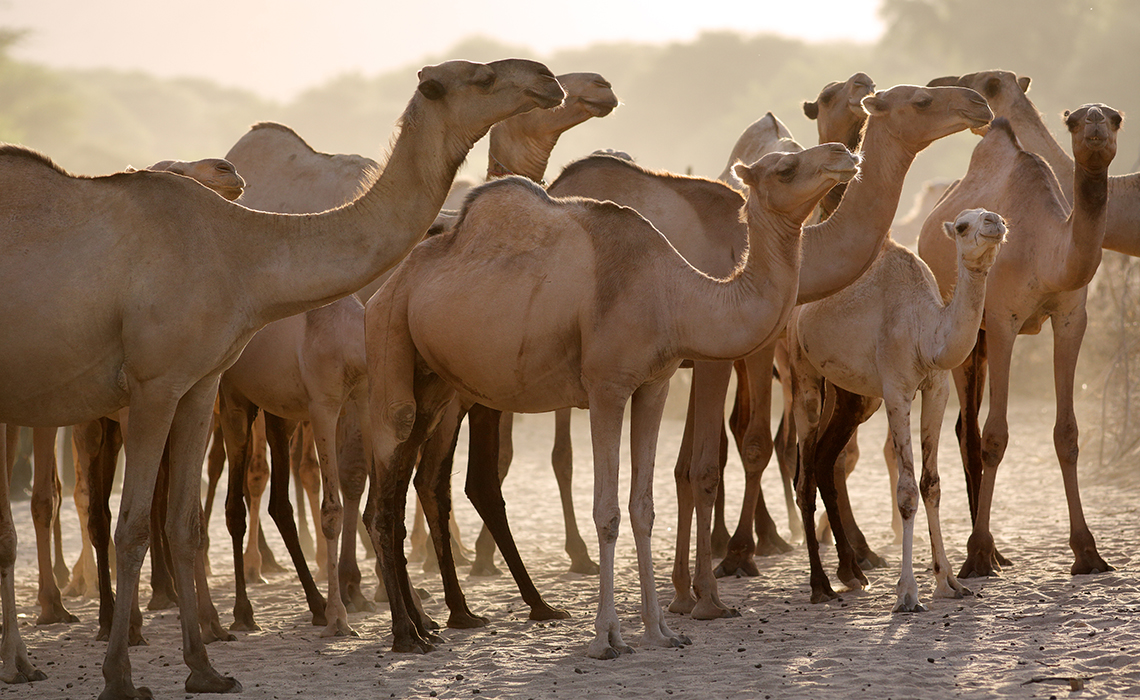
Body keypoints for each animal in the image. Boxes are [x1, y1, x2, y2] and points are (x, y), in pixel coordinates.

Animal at [0, 57, 564, 696]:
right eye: (481, 76)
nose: (547, 77)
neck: (238, 250)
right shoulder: (153, 383)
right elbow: (134, 525)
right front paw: (120, 676)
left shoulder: (199, 383)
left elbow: (184, 521)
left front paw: (205, 669)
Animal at [364, 141, 860, 657]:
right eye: (786, 167)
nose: (844, 153)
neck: (673, 295)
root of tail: (387, 284)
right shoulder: (607, 388)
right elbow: (607, 511)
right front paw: (607, 637)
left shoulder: (654, 384)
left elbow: (643, 506)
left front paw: (661, 630)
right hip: (388, 335)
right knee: (386, 482)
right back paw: (407, 634)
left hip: (436, 381)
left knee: (404, 482)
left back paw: (429, 626)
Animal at [789, 208, 1006, 608]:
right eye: (962, 225)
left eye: (989, 213)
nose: (994, 221)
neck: (927, 332)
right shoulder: (897, 390)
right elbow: (906, 491)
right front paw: (907, 593)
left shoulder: (936, 389)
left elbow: (931, 484)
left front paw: (949, 582)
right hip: (802, 370)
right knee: (805, 475)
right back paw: (819, 585)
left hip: (854, 395)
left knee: (826, 459)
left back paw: (852, 573)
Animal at [917, 105, 1121, 579]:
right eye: (1074, 121)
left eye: (1116, 118)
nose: (1096, 118)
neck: (1045, 252)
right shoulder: (1002, 320)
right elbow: (995, 436)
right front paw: (976, 554)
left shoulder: (1072, 318)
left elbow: (1068, 433)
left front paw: (1087, 552)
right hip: (967, 332)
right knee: (970, 431)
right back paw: (983, 552)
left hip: (981, 340)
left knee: (964, 426)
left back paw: (998, 552)